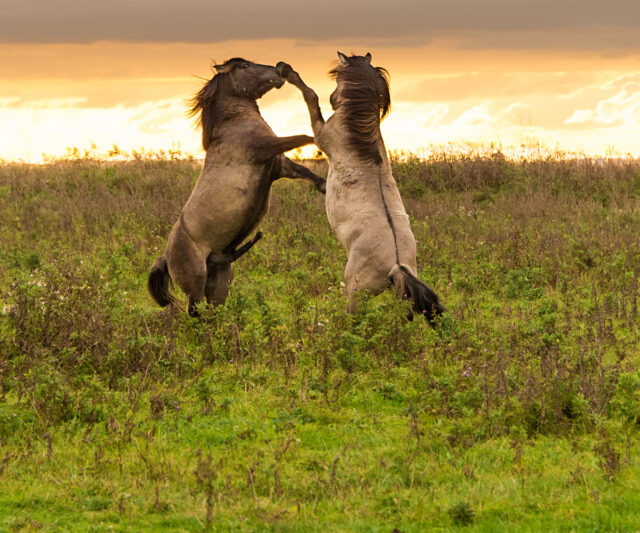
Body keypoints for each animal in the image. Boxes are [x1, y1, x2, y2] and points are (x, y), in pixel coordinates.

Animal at [148, 58, 326, 316]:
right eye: (243, 66)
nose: (279, 69)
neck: (233, 123)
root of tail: (166, 257)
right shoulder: (266, 147)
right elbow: (304, 137)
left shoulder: (278, 166)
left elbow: (304, 170)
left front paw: (324, 185)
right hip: (196, 286)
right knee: (194, 314)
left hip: (219, 284)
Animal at [277, 53, 444, 324]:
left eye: (337, 80)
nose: (334, 99)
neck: (359, 136)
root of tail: (398, 265)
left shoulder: (322, 134)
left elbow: (310, 96)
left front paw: (287, 71)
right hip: (400, 291)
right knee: (407, 313)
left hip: (355, 291)